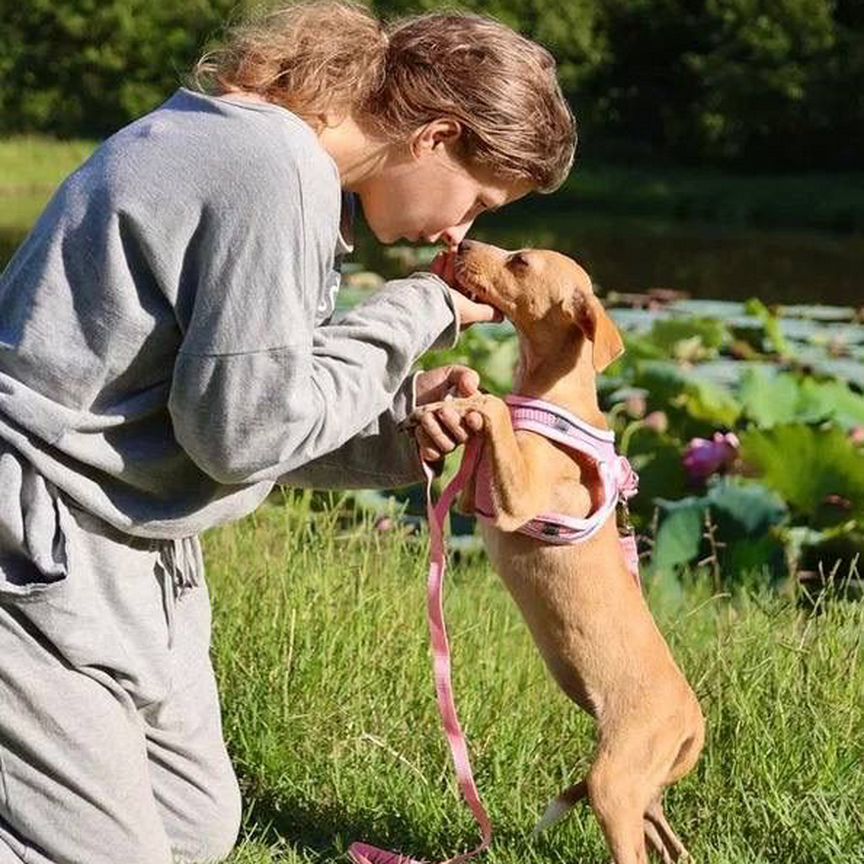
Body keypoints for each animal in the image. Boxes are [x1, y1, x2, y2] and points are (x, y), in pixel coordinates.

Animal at [404, 240, 704, 860]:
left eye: (519, 261)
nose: (461, 244)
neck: (551, 396)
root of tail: (694, 722)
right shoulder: (475, 500)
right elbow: (481, 414)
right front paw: (448, 403)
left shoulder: (515, 504)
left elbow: (494, 409)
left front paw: (473, 403)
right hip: (643, 785)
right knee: (665, 832)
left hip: (615, 781)